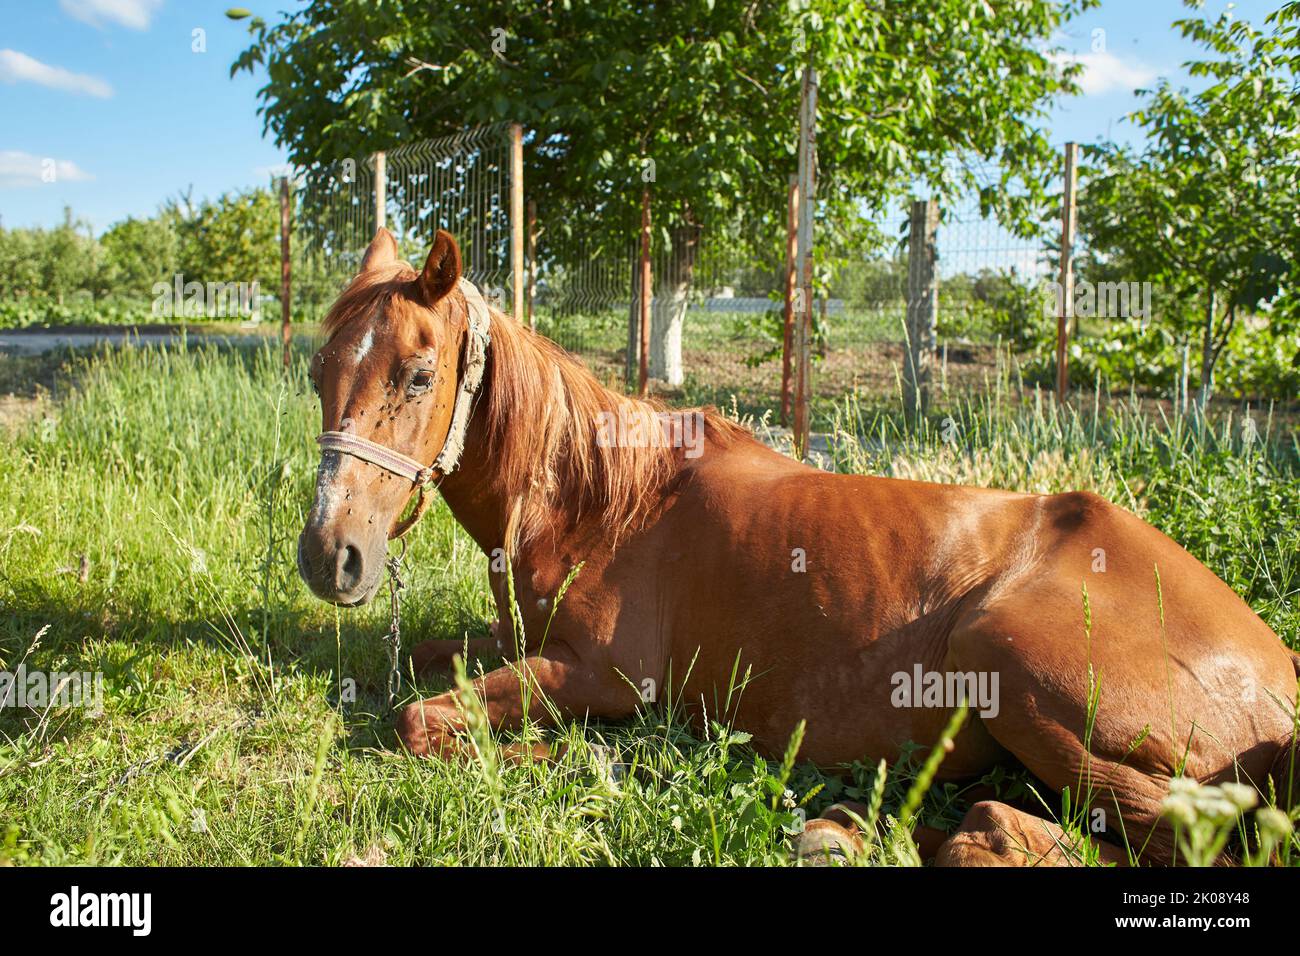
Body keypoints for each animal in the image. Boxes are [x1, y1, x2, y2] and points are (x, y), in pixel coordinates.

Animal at [297, 228, 1299, 865]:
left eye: (418, 374)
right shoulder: (518, 641)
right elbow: (425, 663)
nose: (328, 554)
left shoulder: (600, 675)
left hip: (1001, 655)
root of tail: (1282, 681)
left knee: (1166, 839)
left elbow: (420, 719)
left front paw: (588, 757)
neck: (602, 499)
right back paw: (849, 825)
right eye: (317, 371)